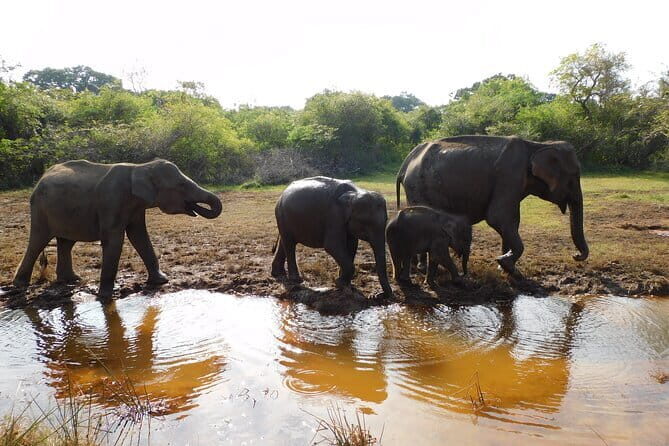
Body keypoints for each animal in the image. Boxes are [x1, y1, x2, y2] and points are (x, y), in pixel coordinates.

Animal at [13, 158, 222, 298]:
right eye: (181, 185)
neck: (141, 167)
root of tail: (41, 178)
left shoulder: (136, 207)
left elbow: (139, 235)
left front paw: (161, 281)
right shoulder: (111, 200)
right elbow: (114, 240)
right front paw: (105, 297)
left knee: (66, 242)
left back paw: (71, 279)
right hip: (40, 210)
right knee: (38, 241)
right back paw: (20, 284)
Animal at [396, 136, 589, 277]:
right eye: (574, 177)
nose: (575, 255)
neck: (537, 145)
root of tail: (405, 162)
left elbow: (511, 221)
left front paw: (505, 267)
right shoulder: (509, 176)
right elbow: (498, 217)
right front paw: (508, 266)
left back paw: (419, 267)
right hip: (417, 188)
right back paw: (422, 268)